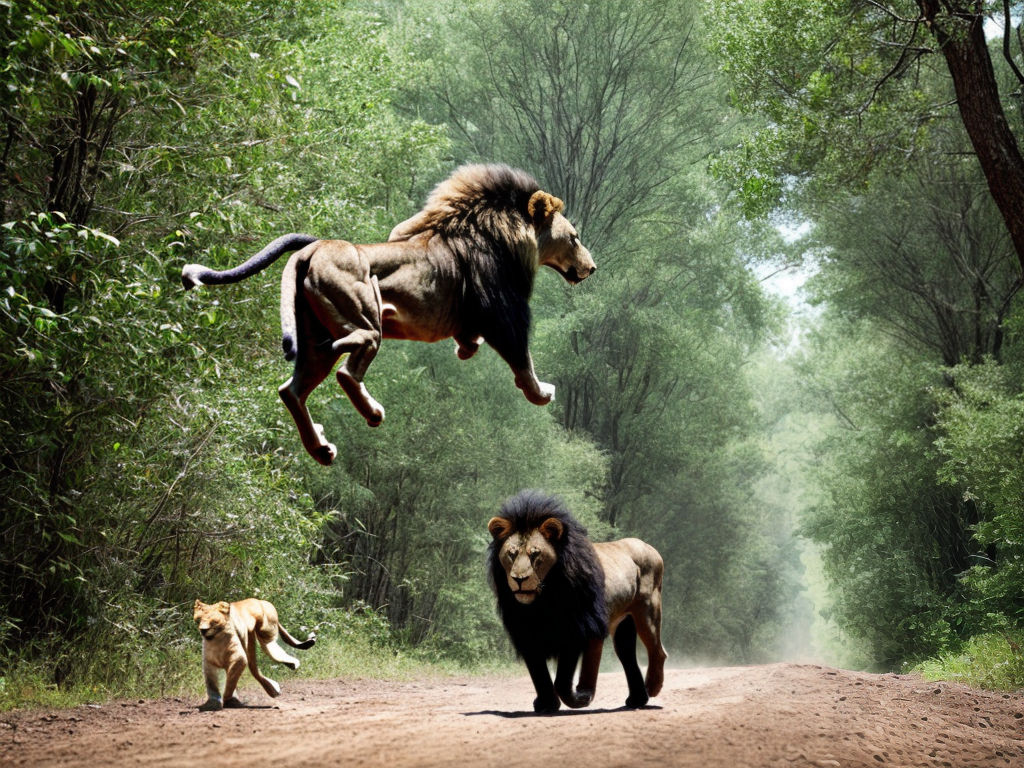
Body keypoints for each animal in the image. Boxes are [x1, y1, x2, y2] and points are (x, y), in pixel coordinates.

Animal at [181, 164, 595, 466]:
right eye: (574, 238)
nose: (591, 268)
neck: (506, 233)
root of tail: (311, 249)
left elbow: (476, 340)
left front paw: (466, 349)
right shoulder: (506, 313)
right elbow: (523, 360)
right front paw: (541, 393)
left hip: (313, 336)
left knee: (293, 388)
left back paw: (321, 449)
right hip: (361, 313)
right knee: (349, 364)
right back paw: (372, 407)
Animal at [487, 490, 667, 713]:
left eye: (535, 553)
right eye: (511, 554)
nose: (519, 579)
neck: (542, 601)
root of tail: (649, 546)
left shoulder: (576, 626)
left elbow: (563, 678)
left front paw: (580, 697)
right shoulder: (527, 632)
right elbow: (538, 672)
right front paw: (547, 704)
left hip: (647, 612)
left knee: (658, 651)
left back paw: (652, 687)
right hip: (624, 622)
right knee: (627, 655)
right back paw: (637, 699)